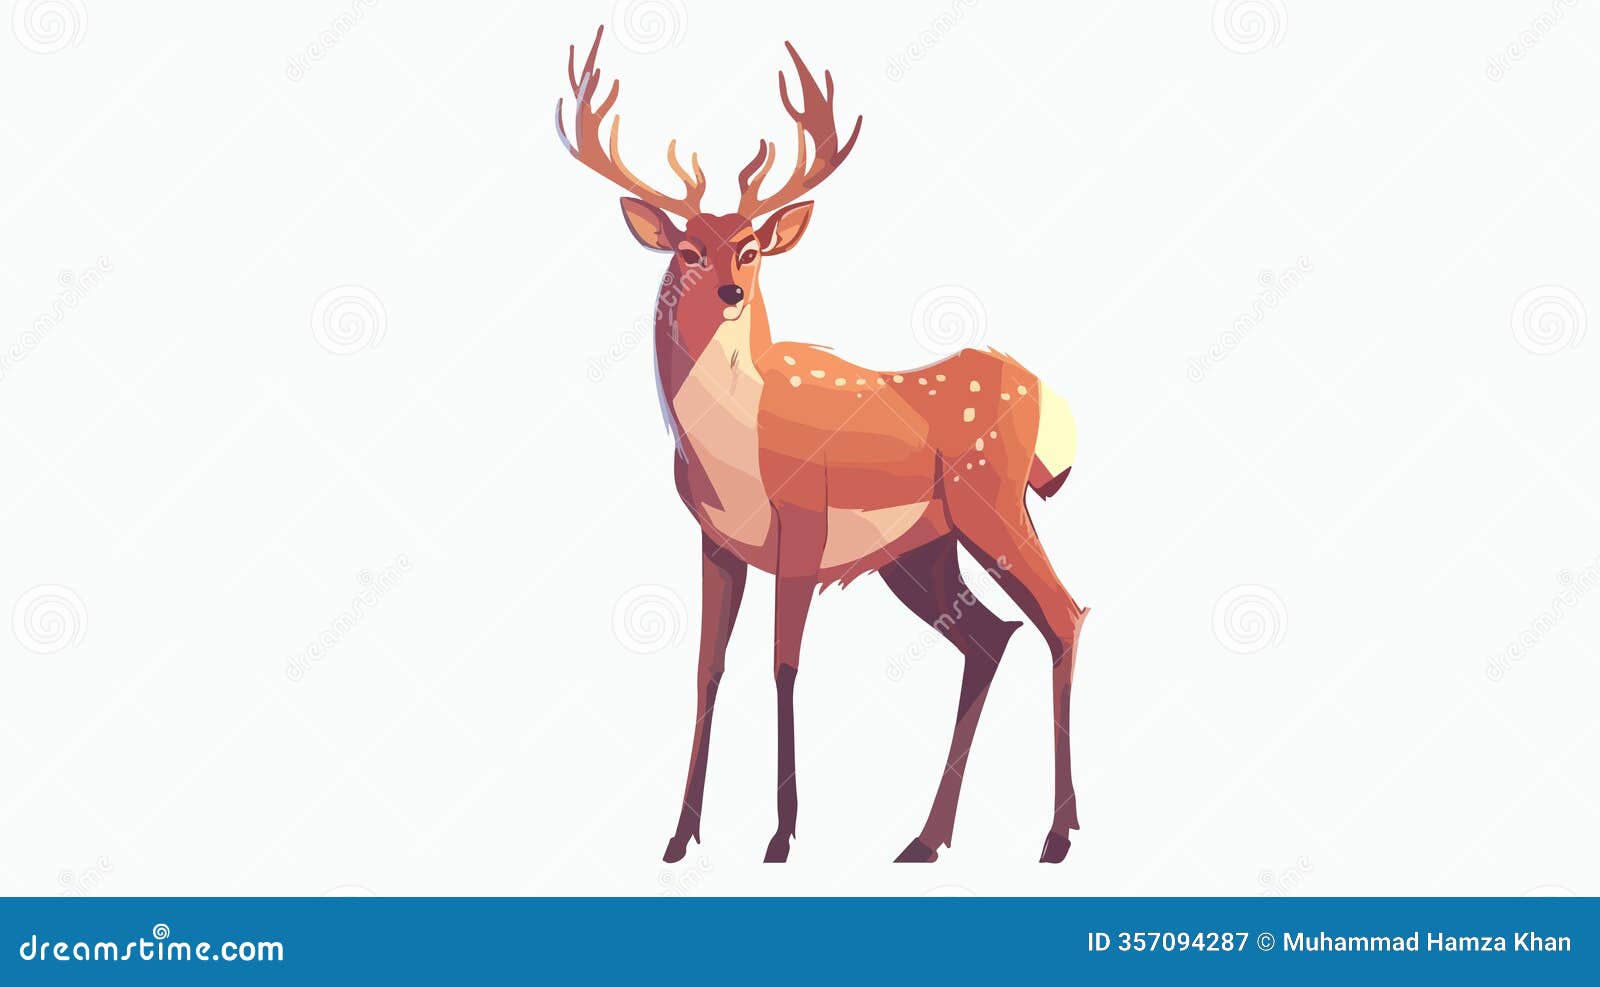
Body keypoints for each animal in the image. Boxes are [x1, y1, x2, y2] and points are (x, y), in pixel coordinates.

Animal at [556, 26, 1087, 864]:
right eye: (688, 250)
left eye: (750, 248)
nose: (731, 293)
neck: (735, 452)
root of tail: (1049, 401)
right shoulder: (715, 540)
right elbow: (707, 667)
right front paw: (679, 835)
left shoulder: (803, 521)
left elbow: (784, 664)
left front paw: (780, 836)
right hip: (922, 549)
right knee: (989, 636)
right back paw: (926, 838)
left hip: (991, 503)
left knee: (1062, 615)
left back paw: (1057, 833)